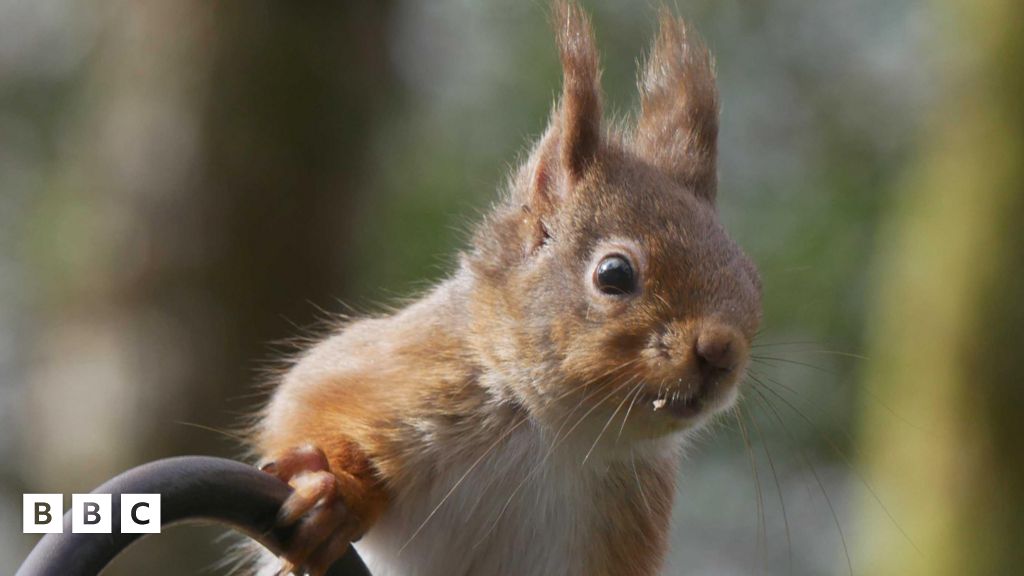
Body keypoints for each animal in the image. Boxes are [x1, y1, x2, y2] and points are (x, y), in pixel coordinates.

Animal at [252, 2, 762, 575]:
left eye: (752, 282)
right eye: (614, 273)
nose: (722, 351)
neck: (554, 433)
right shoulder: (394, 371)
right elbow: (302, 406)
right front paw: (336, 492)